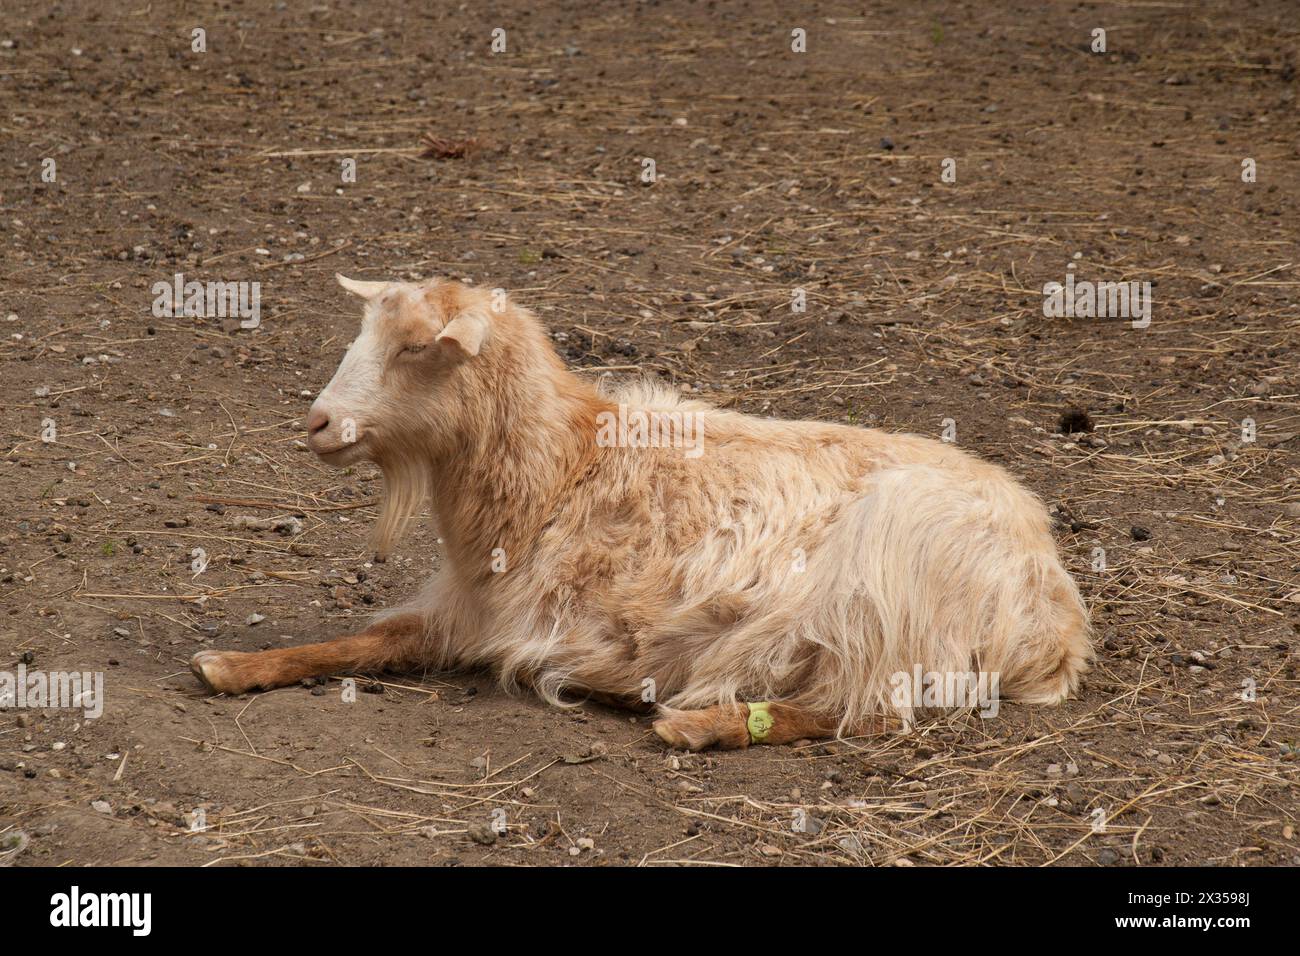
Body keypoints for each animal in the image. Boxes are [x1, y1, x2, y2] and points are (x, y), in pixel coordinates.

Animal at [190, 275, 1092, 750]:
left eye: (417, 347)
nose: (318, 423)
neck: (565, 472)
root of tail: (1055, 614)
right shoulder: (466, 611)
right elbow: (370, 640)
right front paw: (233, 665)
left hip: (885, 594)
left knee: (869, 710)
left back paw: (694, 724)